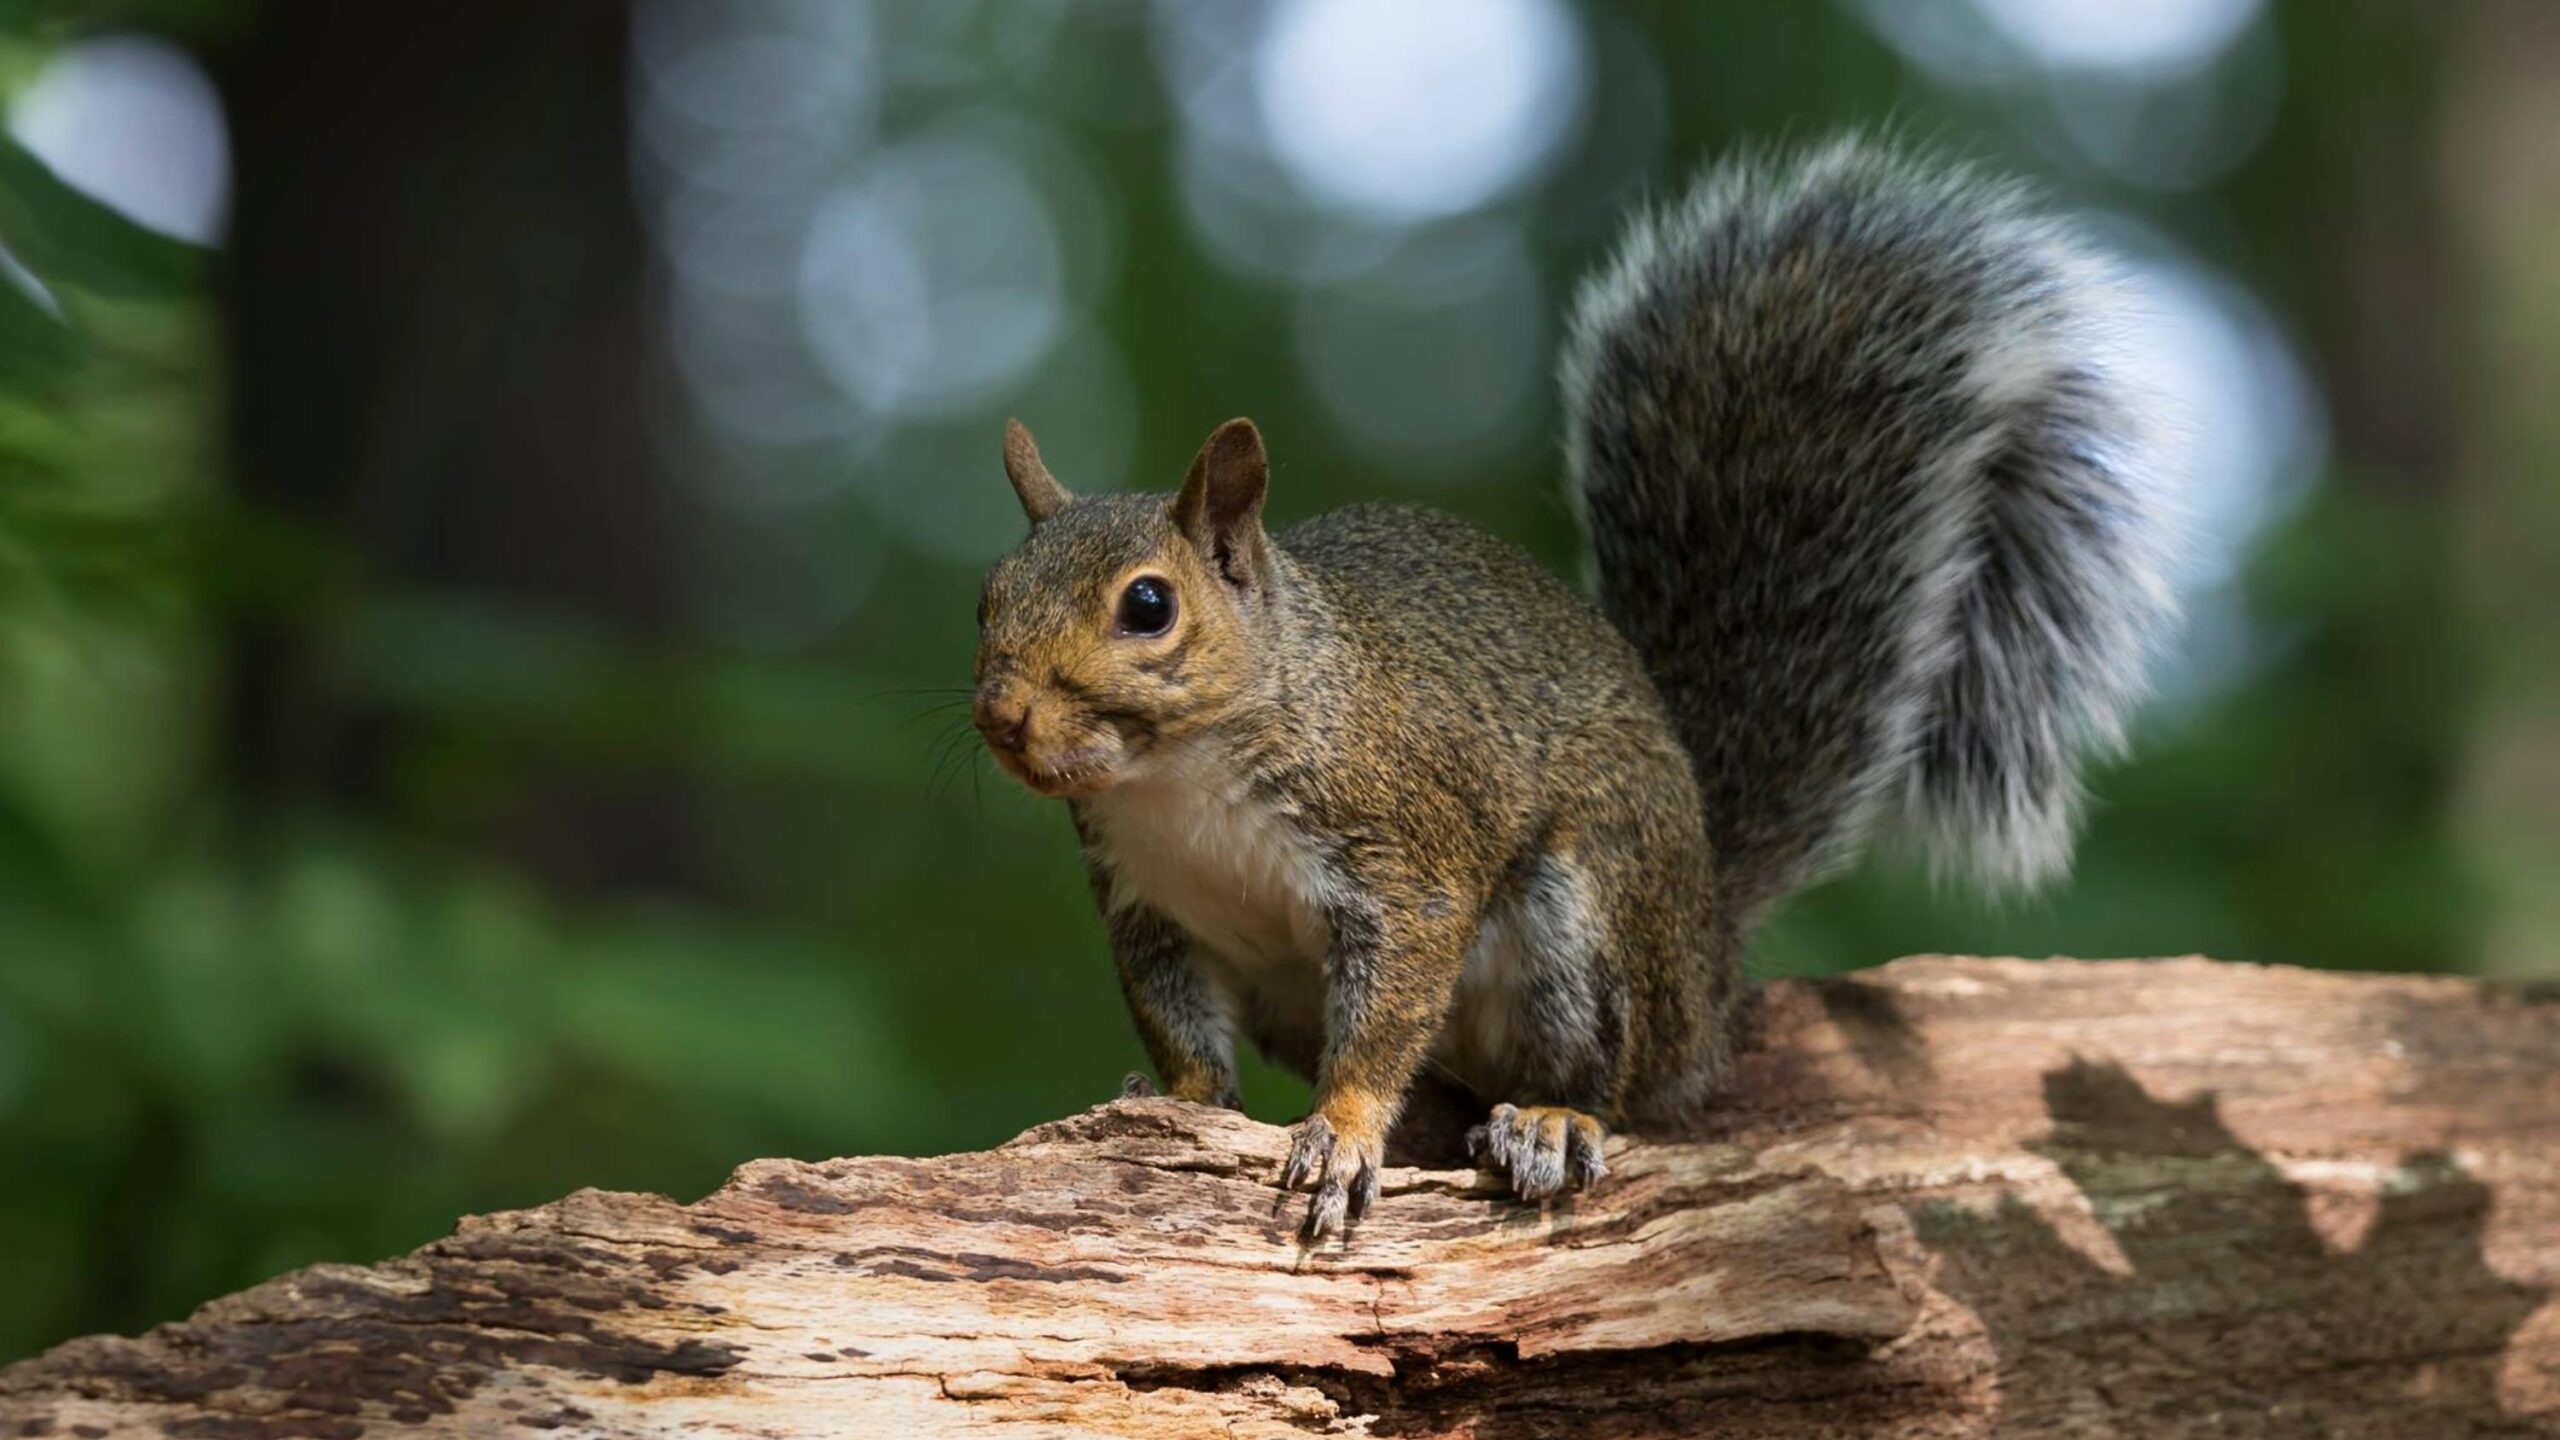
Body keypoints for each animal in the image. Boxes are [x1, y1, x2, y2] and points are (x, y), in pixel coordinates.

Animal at [970, 138, 2182, 1240]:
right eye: (988, 596)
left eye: (1148, 606)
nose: (1001, 717)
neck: (1182, 781)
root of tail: (1705, 965)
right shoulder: (1148, 907)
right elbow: (1179, 1030)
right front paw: (1175, 1101)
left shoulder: (1404, 852)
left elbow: (1388, 1013)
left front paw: (1343, 1133)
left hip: (1586, 915)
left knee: (1615, 1086)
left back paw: (1552, 1120)